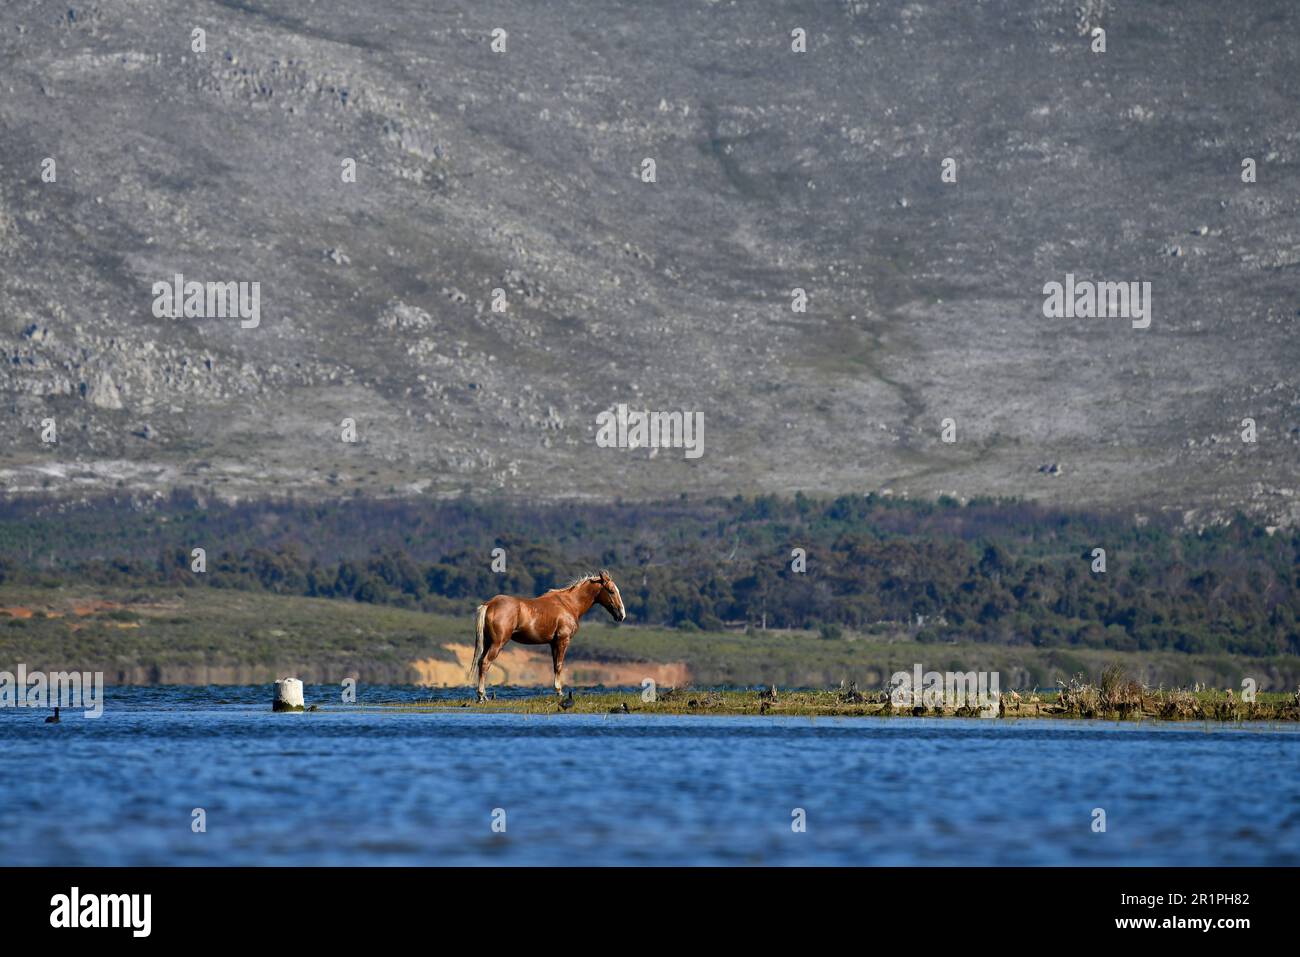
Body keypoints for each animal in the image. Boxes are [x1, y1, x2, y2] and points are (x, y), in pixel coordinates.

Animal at [470, 570, 626, 702]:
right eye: (611, 591)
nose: (621, 615)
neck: (568, 604)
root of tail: (490, 604)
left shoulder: (553, 643)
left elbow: (554, 665)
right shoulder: (563, 640)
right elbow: (559, 665)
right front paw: (559, 692)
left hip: (489, 643)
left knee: (481, 662)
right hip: (498, 643)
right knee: (485, 663)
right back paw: (482, 695)